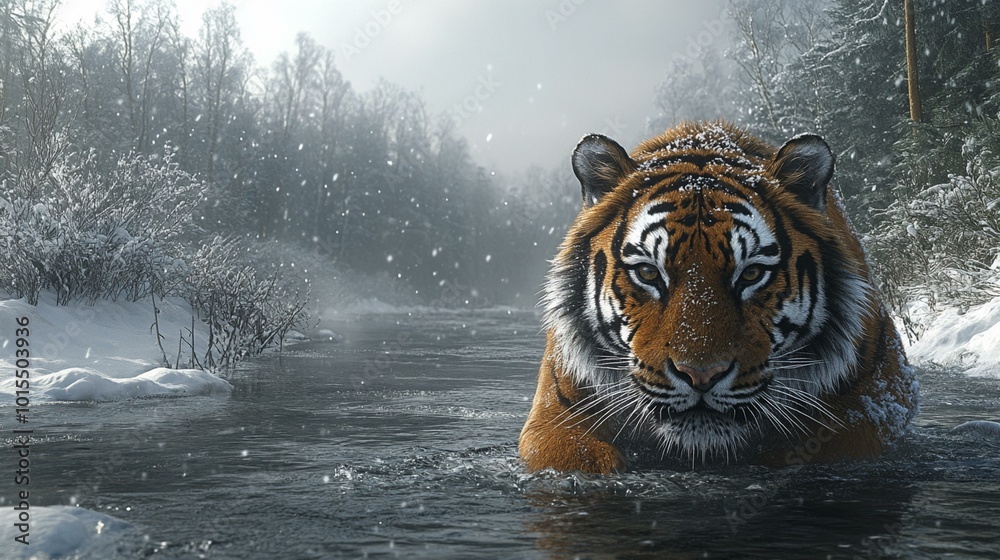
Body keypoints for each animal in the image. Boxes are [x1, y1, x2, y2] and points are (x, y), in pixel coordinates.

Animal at [519, 122, 919, 474]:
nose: (701, 375)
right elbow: (577, 457)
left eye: (751, 274)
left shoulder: (873, 406)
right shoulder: (557, 415)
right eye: (648, 273)